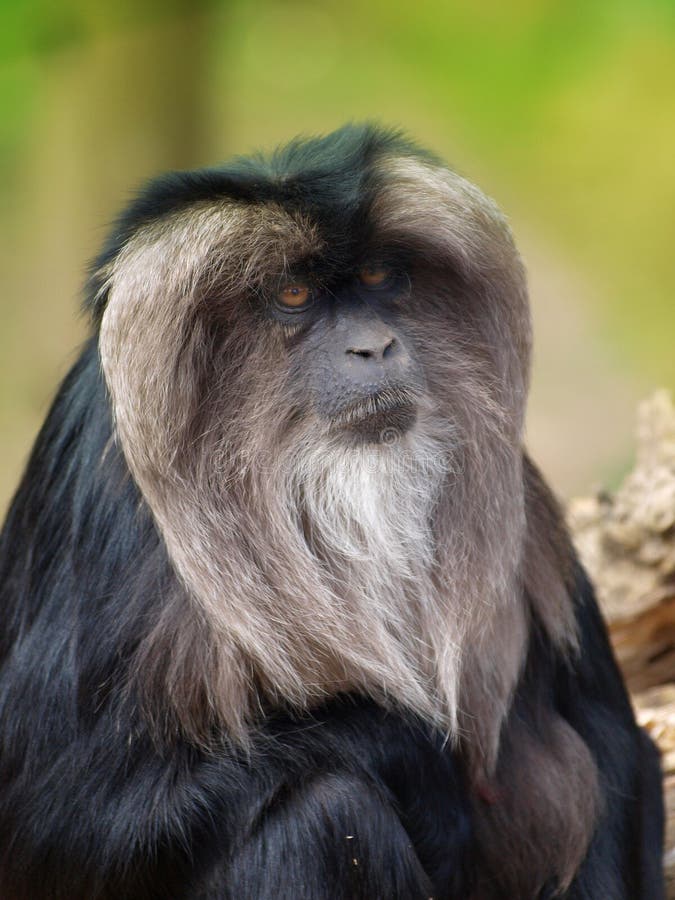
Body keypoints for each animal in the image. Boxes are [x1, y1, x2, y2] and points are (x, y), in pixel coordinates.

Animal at [0, 124, 664, 899]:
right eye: (293, 294)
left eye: (378, 278)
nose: (372, 346)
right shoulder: (100, 495)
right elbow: (55, 822)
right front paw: (416, 763)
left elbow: (617, 746)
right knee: (327, 807)